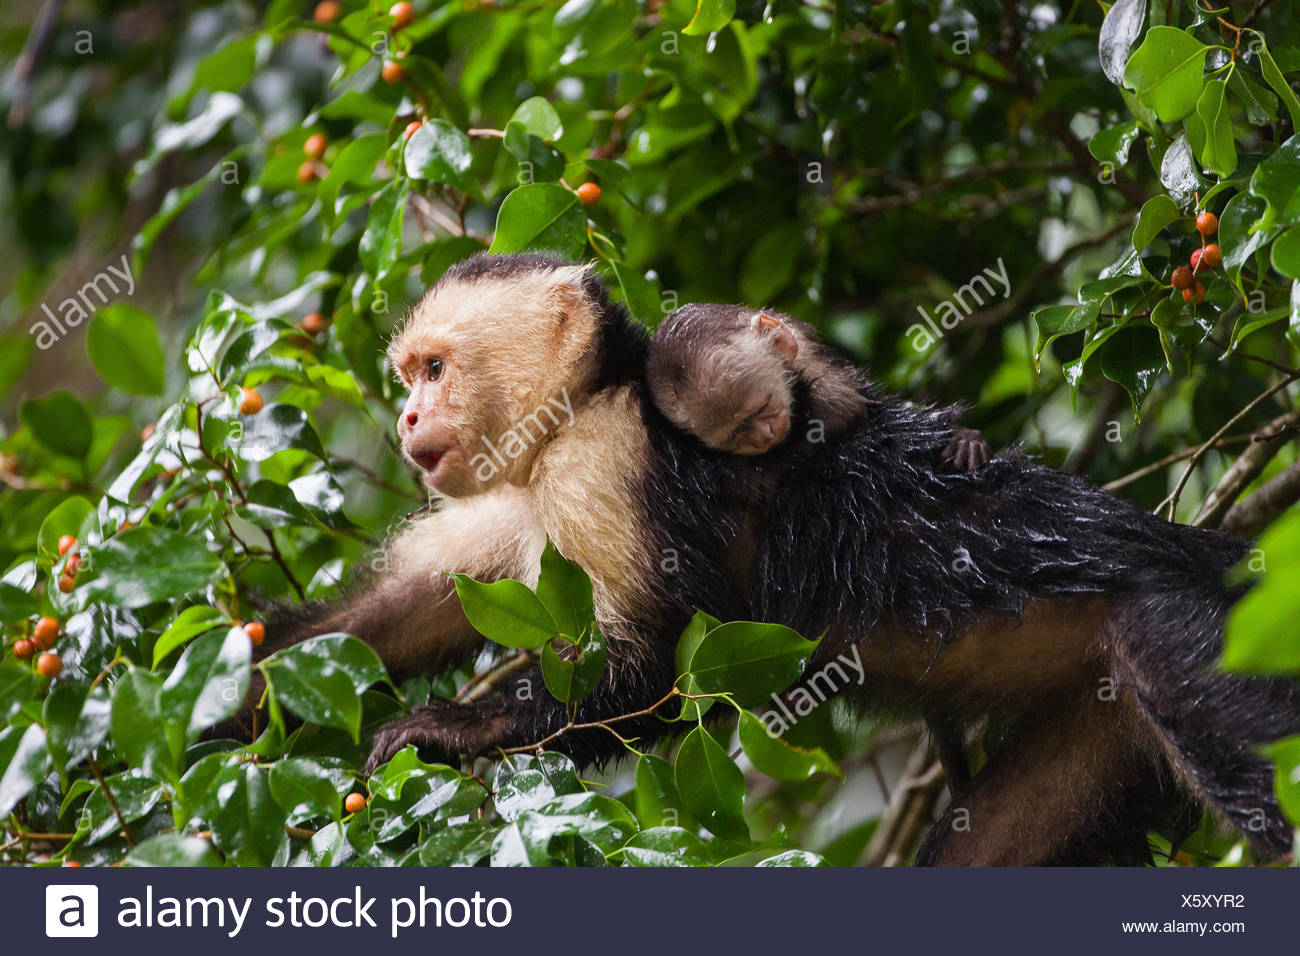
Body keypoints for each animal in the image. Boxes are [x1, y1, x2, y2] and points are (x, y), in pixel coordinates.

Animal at [252, 252, 1300, 866]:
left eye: (434, 369)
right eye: (408, 377)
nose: (407, 420)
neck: (587, 405)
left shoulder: (602, 465)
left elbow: (653, 677)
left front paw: (447, 730)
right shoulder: (511, 491)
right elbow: (375, 629)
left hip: (1190, 626)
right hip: (1098, 728)